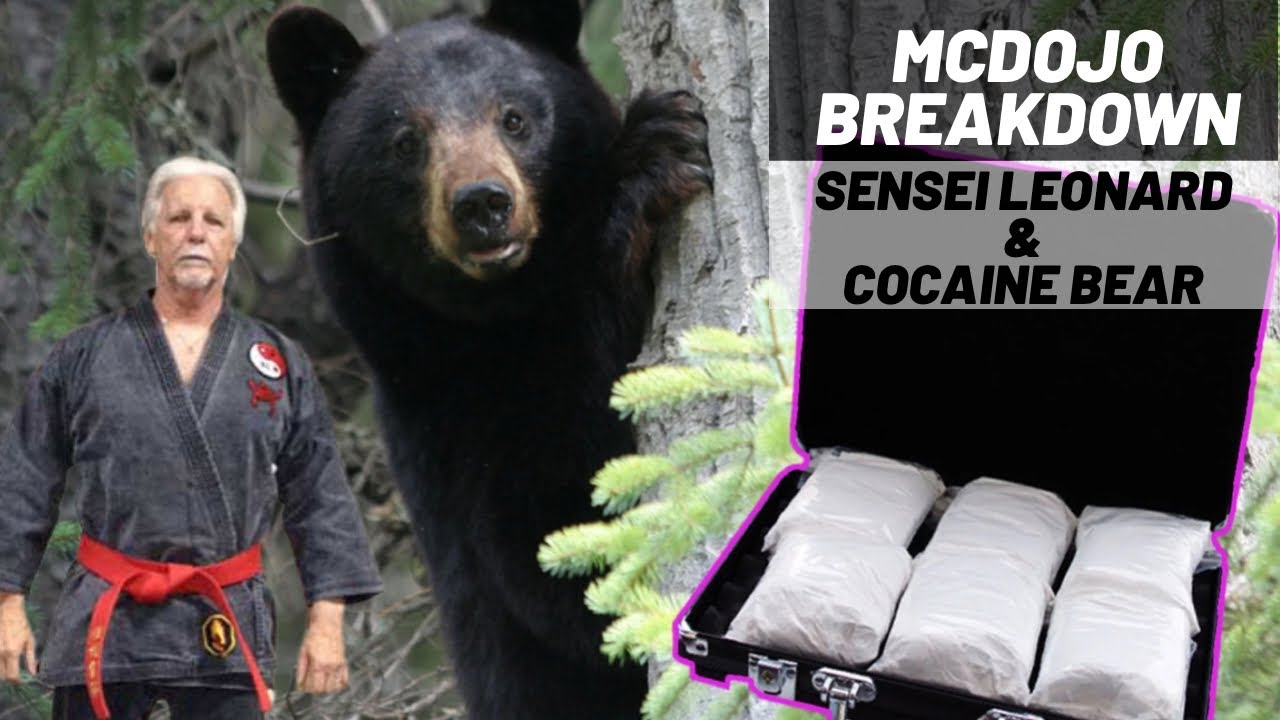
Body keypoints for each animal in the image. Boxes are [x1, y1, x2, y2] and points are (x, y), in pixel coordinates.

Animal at [265, 3, 711, 718]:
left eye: (515, 118)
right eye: (405, 142)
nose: (482, 202)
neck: (501, 322)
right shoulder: (449, 426)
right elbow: (564, 550)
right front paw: (651, 160)